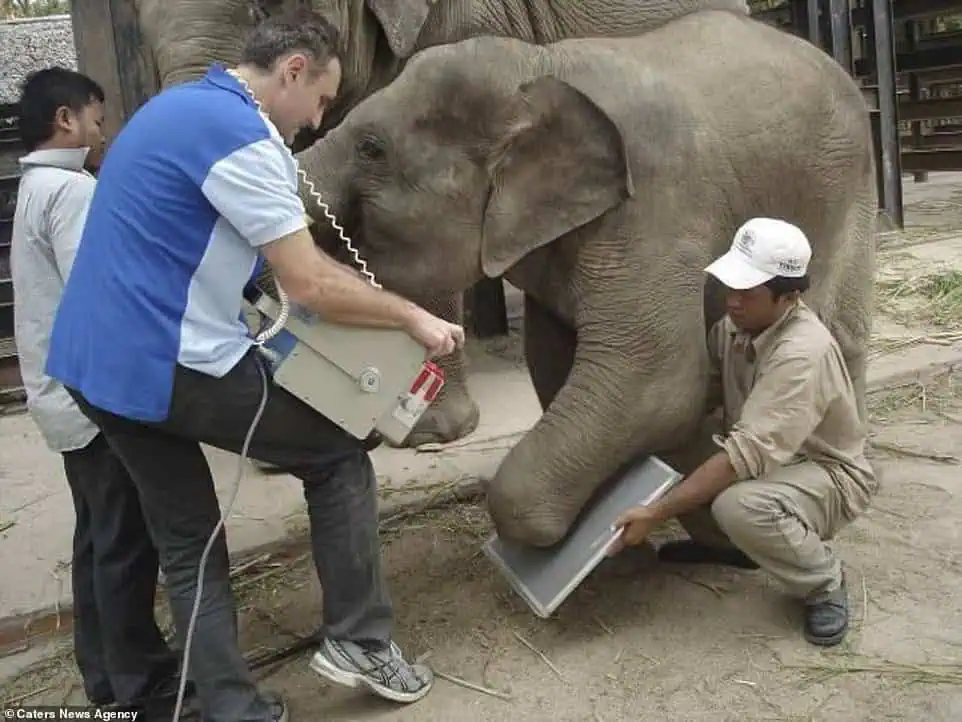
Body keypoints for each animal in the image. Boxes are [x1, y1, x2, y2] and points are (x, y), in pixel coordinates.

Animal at [292, 10, 878, 547]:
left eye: (371, 148)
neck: (535, 69)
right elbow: (555, 361)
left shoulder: (652, 206)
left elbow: (654, 379)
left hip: (848, 191)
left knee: (834, 333)